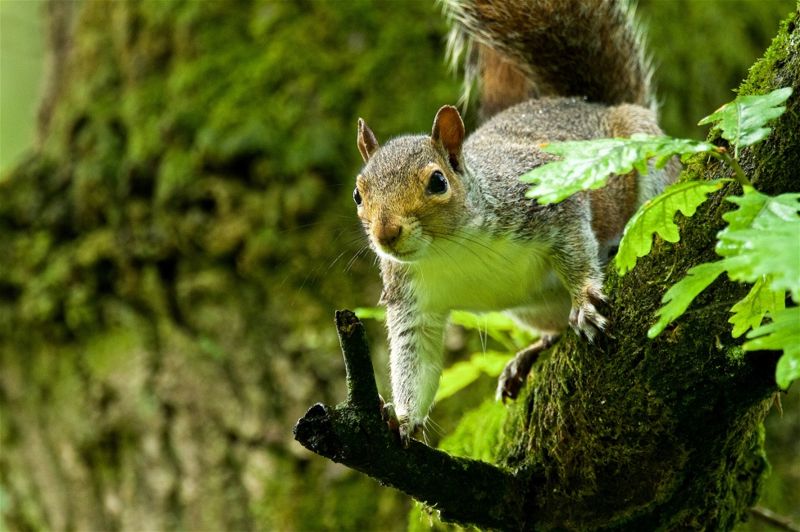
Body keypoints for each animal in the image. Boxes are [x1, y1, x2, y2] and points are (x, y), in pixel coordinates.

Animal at [353, 0, 679, 445]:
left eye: (437, 181)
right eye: (358, 194)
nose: (386, 234)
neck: (451, 248)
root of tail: (591, 104)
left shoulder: (546, 199)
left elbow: (576, 250)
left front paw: (585, 301)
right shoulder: (412, 298)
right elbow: (415, 359)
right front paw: (403, 419)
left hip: (649, 159)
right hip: (533, 310)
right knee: (552, 331)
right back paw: (528, 356)